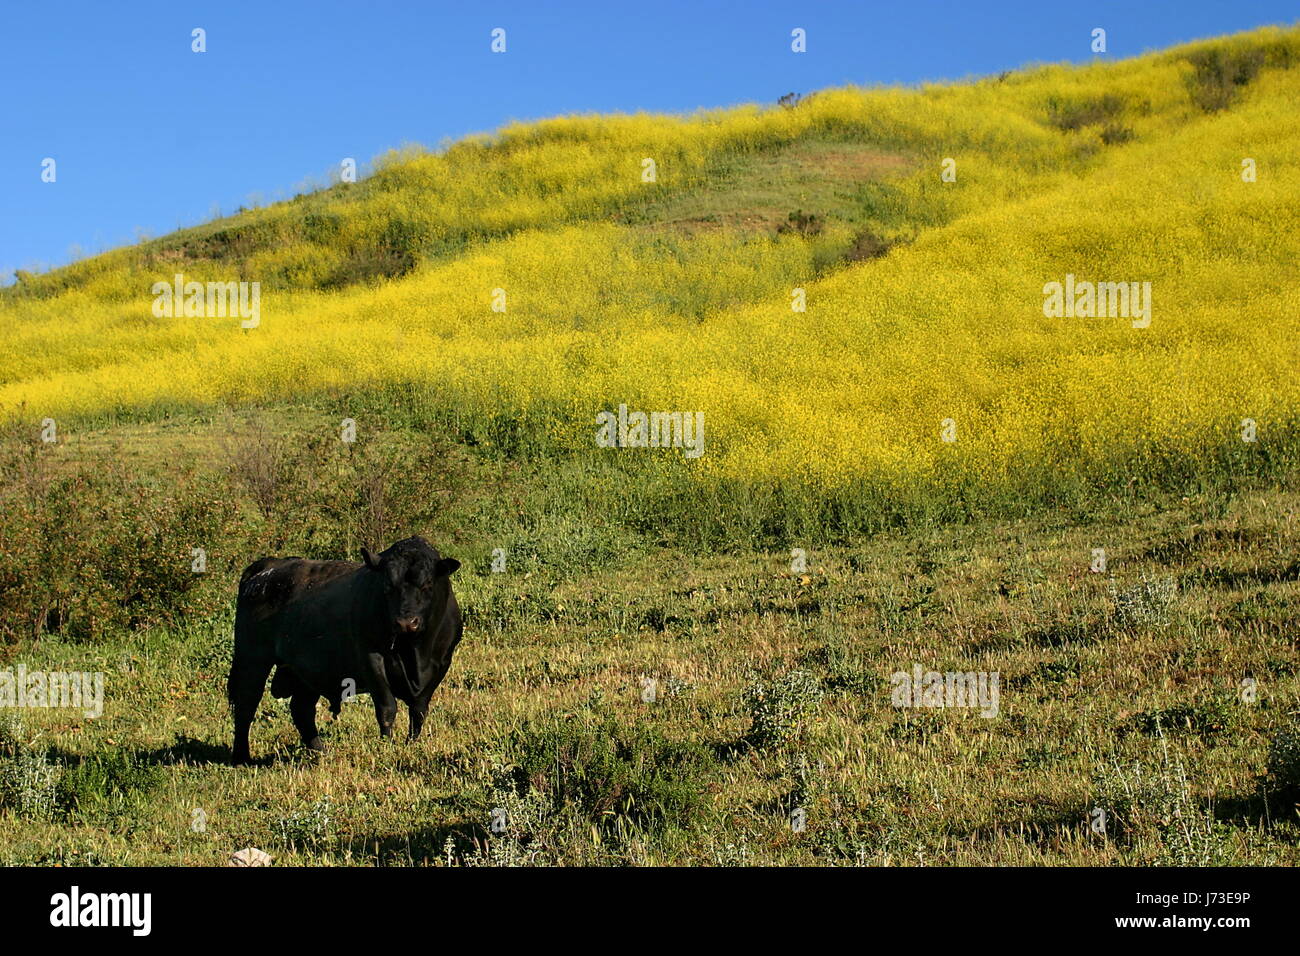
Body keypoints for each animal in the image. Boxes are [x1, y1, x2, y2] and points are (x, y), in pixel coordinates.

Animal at [227, 536, 462, 765]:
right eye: (387, 585)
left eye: (428, 584)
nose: (405, 622)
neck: (414, 652)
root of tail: (270, 565)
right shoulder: (371, 660)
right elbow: (387, 708)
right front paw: (386, 746)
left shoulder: (441, 664)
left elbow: (419, 711)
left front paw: (411, 744)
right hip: (252, 660)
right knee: (246, 704)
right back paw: (241, 757)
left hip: (306, 671)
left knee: (301, 710)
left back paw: (320, 753)